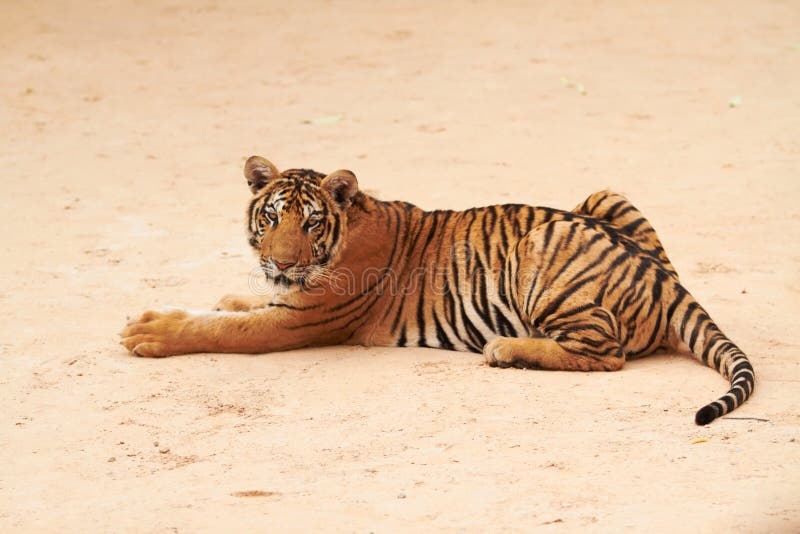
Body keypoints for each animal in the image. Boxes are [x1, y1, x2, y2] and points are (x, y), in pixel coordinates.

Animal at [121, 156, 755, 425]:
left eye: (312, 223)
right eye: (272, 217)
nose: (280, 260)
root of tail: (666, 280)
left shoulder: (301, 320)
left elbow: (223, 329)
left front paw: (147, 330)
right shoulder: (288, 299)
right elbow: (244, 304)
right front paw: (233, 295)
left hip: (543, 248)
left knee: (606, 353)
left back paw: (506, 349)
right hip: (603, 195)